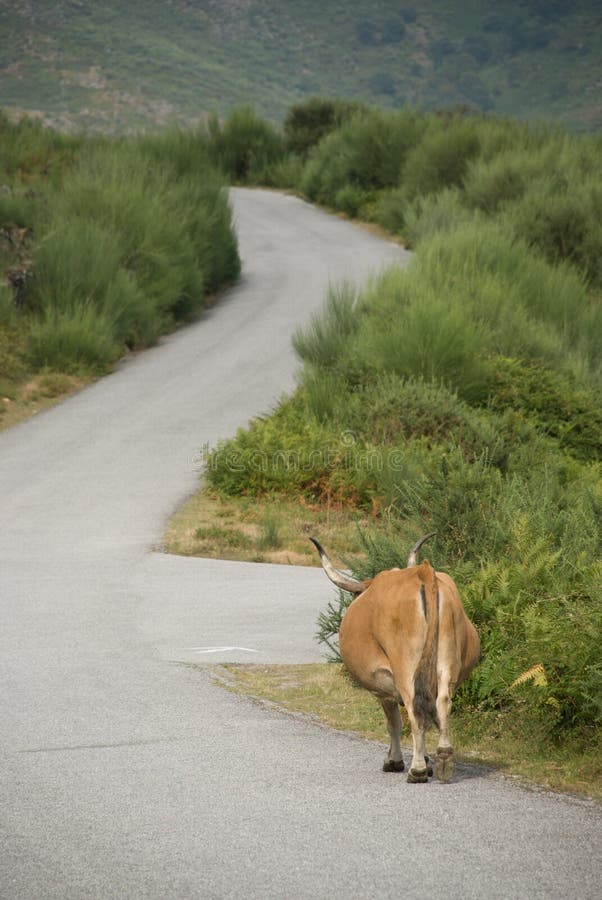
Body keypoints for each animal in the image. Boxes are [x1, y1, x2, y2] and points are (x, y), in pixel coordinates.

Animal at [310, 534, 480, 783]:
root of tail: (423, 571)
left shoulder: (383, 687)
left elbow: (394, 723)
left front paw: (395, 760)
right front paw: (427, 760)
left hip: (405, 671)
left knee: (415, 711)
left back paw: (417, 771)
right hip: (445, 666)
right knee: (441, 704)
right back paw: (443, 759)